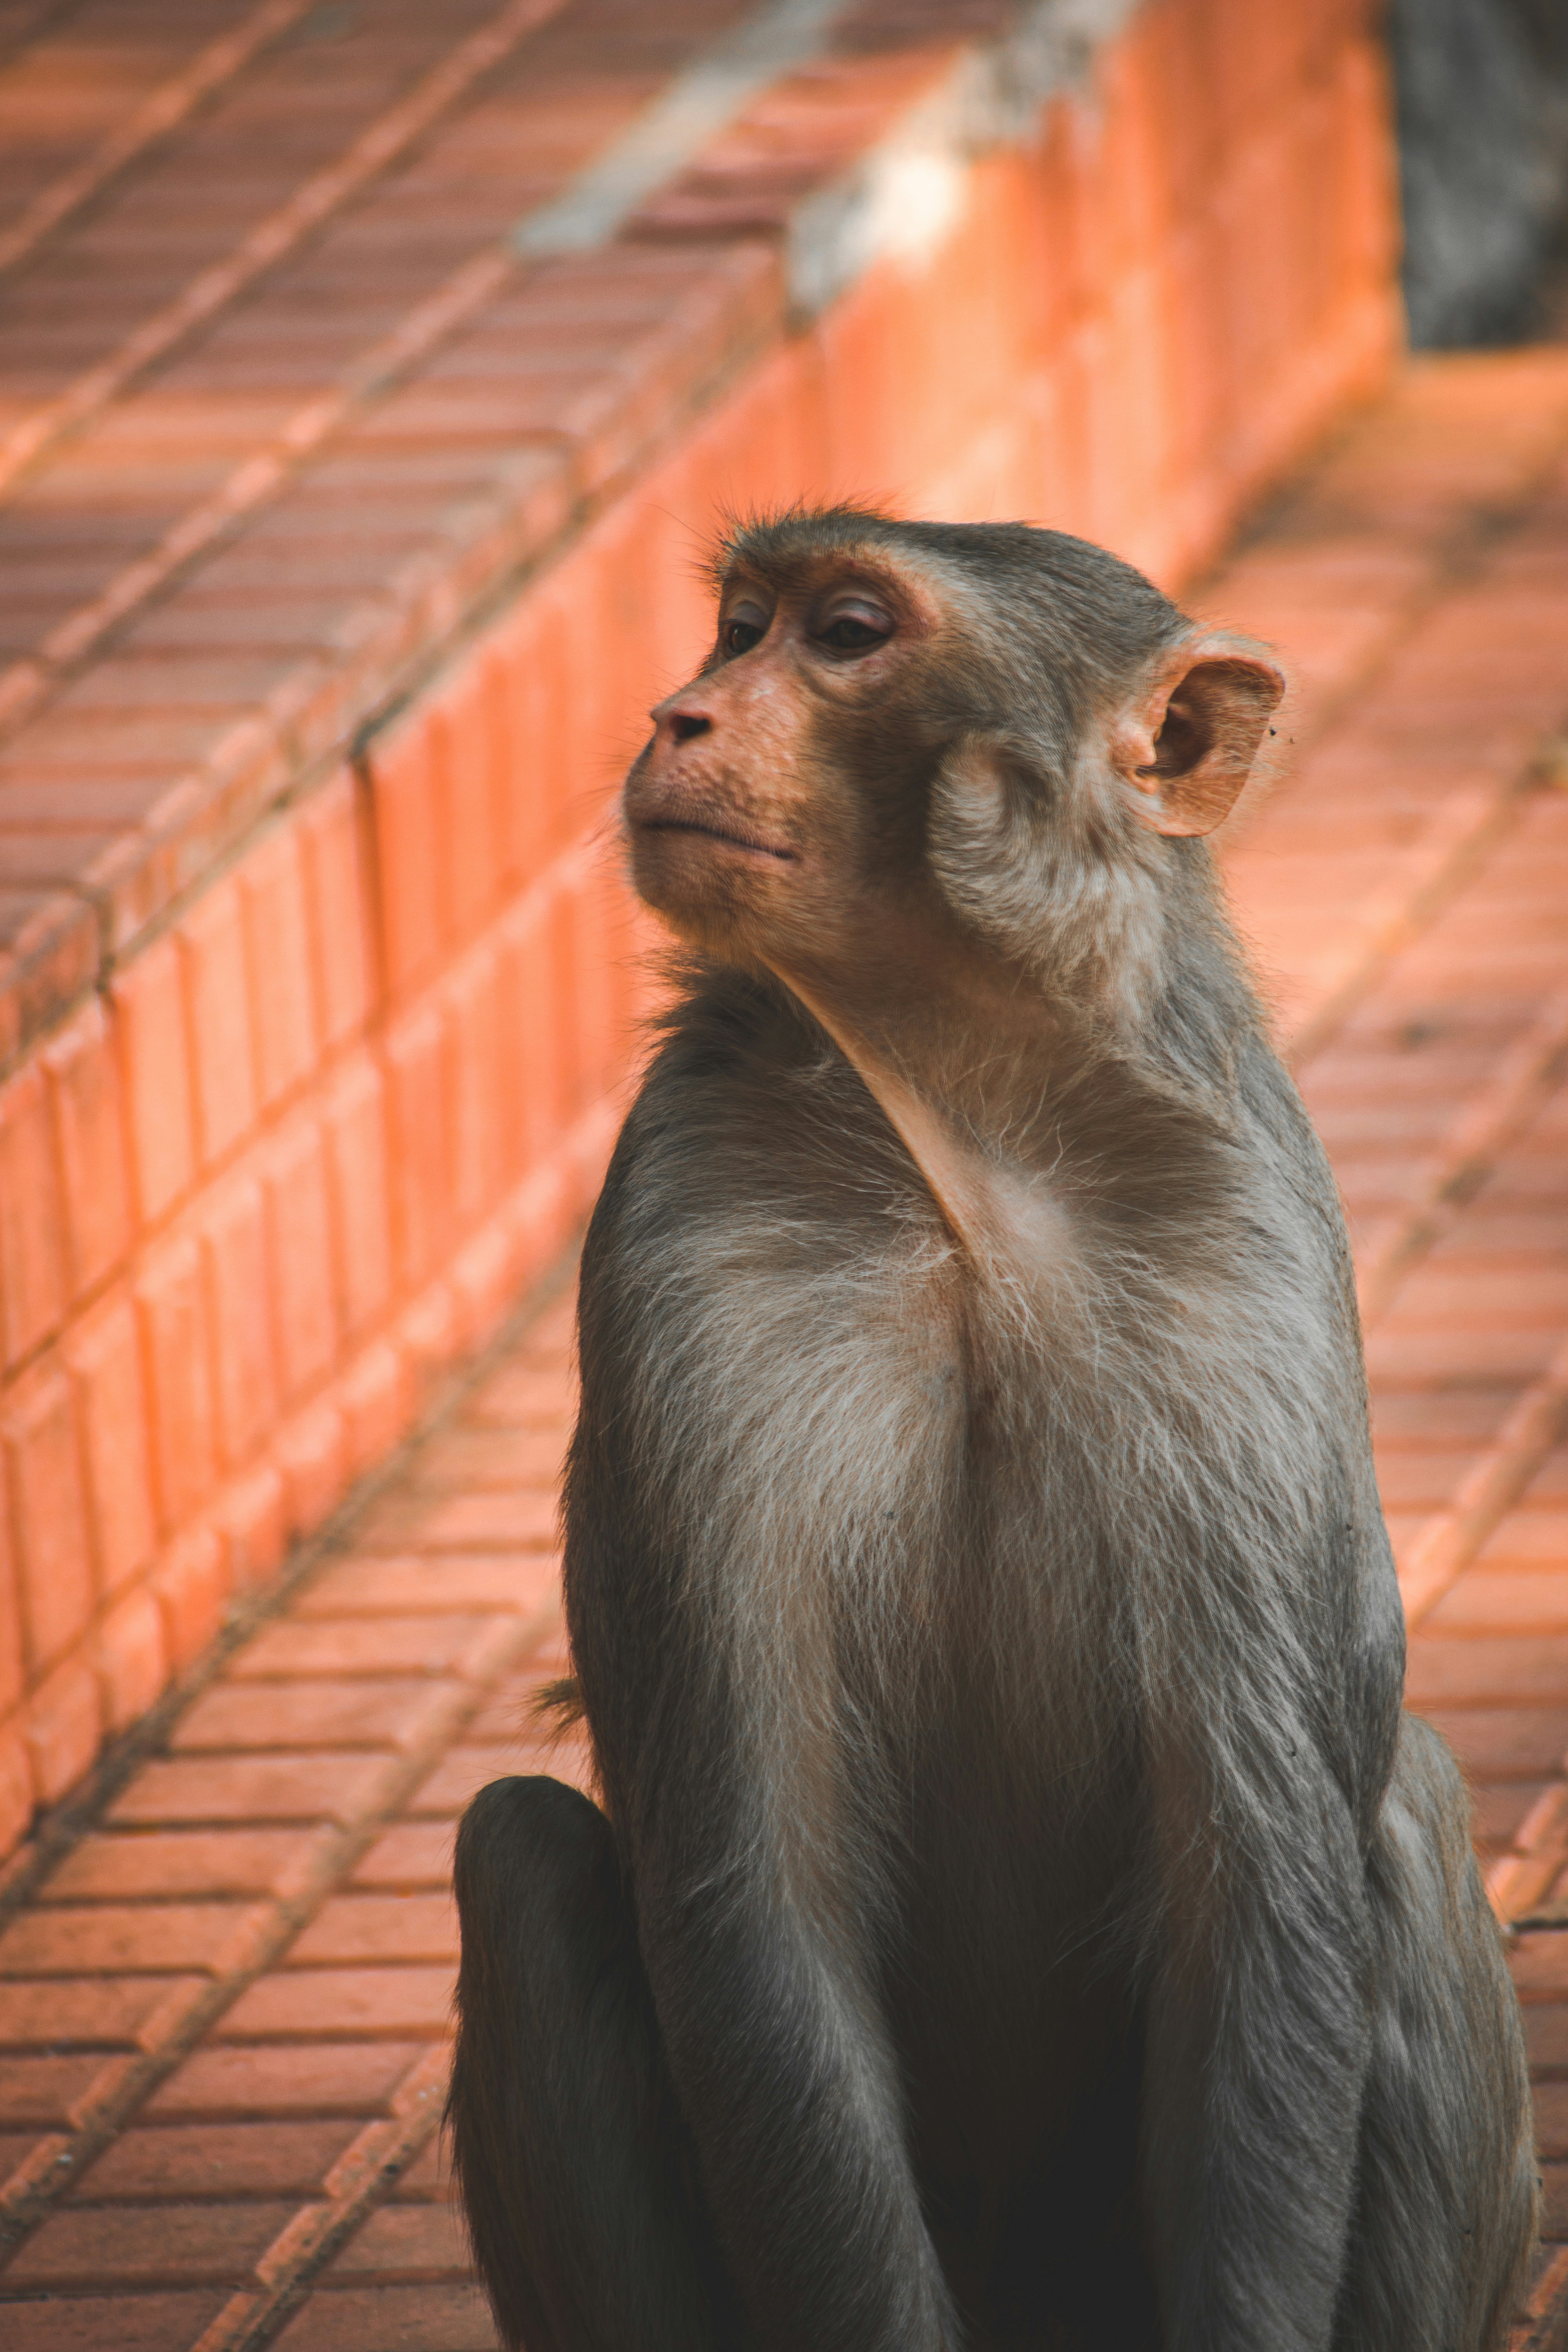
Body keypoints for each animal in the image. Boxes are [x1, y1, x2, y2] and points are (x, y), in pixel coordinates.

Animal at [448, 508, 1538, 2352]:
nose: (676, 711)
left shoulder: (1242, 1257)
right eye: (738, 627)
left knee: (1402, 1801)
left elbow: (1262, 1870)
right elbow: (757, 1886)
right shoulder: (681, 1240)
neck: (972, 1127)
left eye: (845, 633)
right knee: (515, 1854)